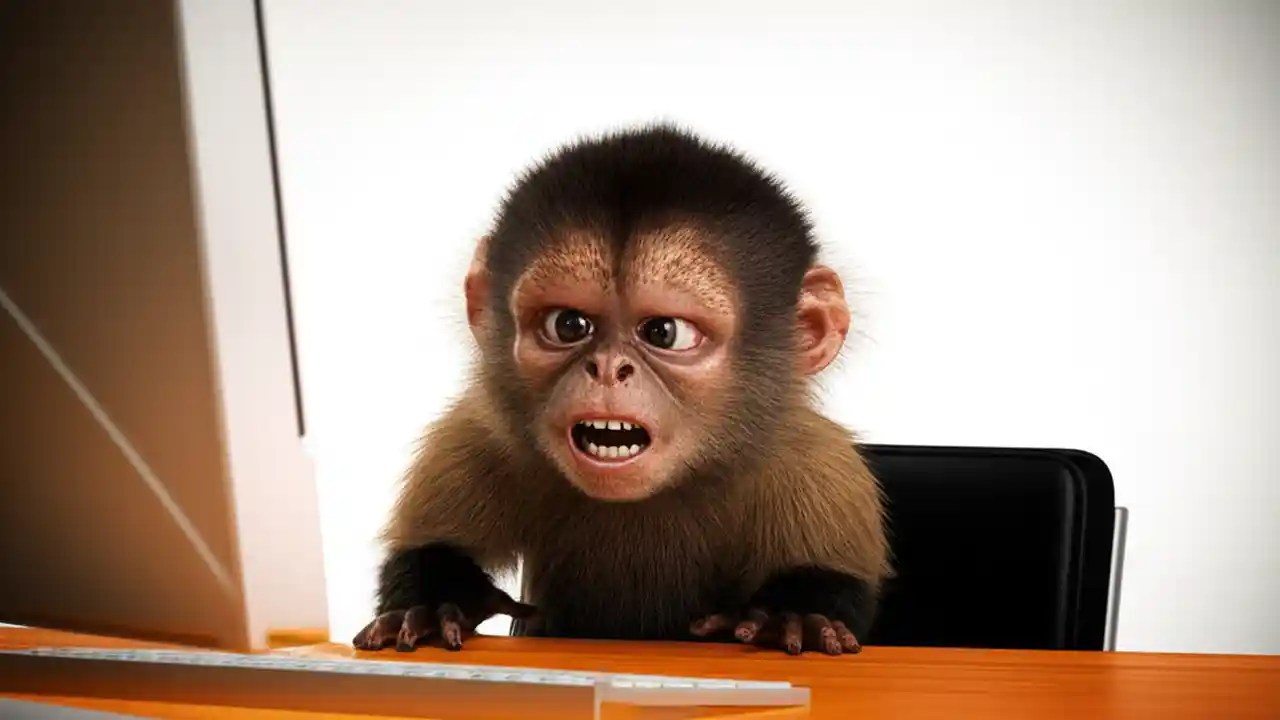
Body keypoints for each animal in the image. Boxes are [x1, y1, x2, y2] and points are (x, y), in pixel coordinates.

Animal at [351, 124, 890, 657]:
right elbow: (432, 550)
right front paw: (437, 602)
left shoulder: (810, 456)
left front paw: (791, 613)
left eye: (665, 332)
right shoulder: (485, 434)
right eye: (568, 324)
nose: (608, 368)